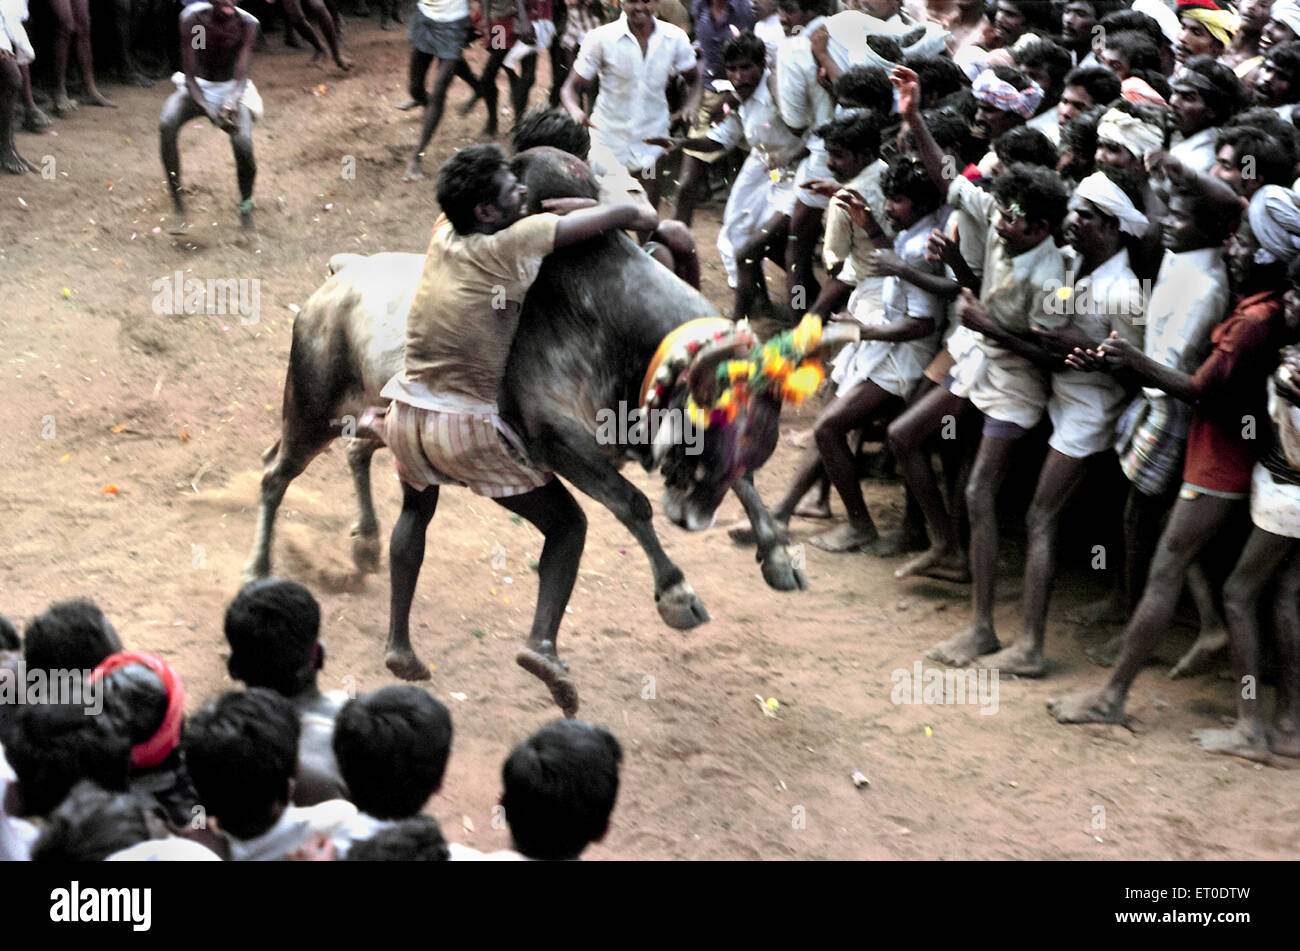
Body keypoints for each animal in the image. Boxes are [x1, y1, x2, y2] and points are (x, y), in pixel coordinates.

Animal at [243, 146, 856, 714]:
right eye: (695, 442)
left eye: (754, 447)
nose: (692, 520)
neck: (612, 323)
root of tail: (342, 274)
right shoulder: (558, 442)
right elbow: (632, 504)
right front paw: (676, 594)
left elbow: (743, 489)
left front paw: (778, 556)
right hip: (310, 410)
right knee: (274, 473)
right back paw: (259, 571)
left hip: (373, 419)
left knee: (358, 456)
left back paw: (369, 544)